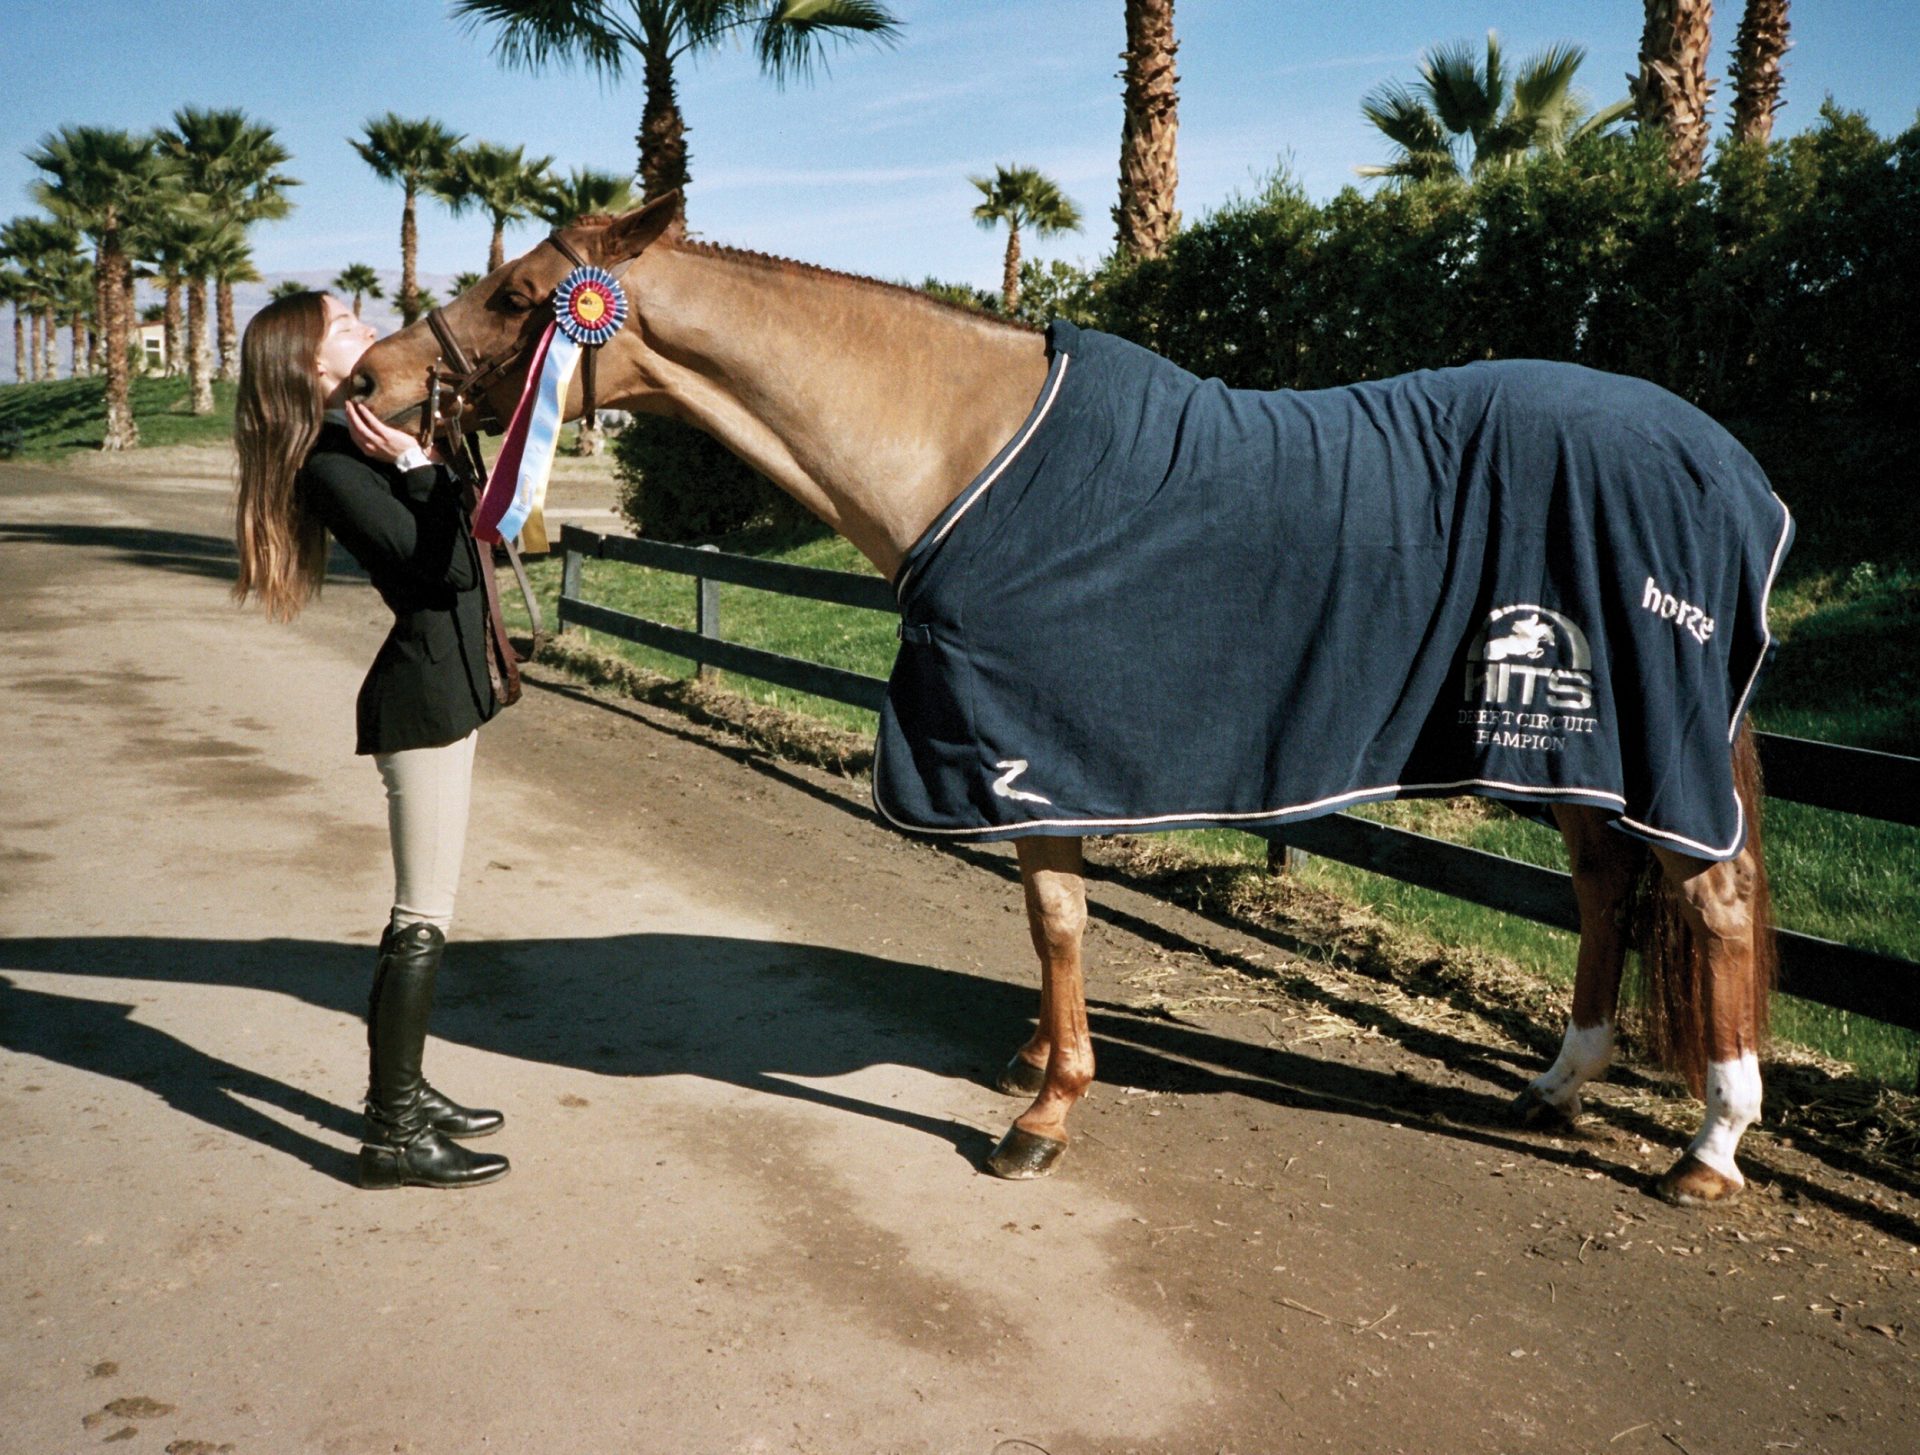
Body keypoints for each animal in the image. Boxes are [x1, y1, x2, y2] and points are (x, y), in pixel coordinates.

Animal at [355, 196, 1791, 1207]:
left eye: (523, 293)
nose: (370, 380)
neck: (963, 451)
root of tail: (1725, 460)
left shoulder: (1024, 747)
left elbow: (1056, 920)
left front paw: (1042, 1116)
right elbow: (1055, 928)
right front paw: (1042, 1070)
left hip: (1648, 734)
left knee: (1711, 897)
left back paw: (1710, 1148)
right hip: (1581, 747)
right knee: (1608, 889)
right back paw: (1559, 1082)